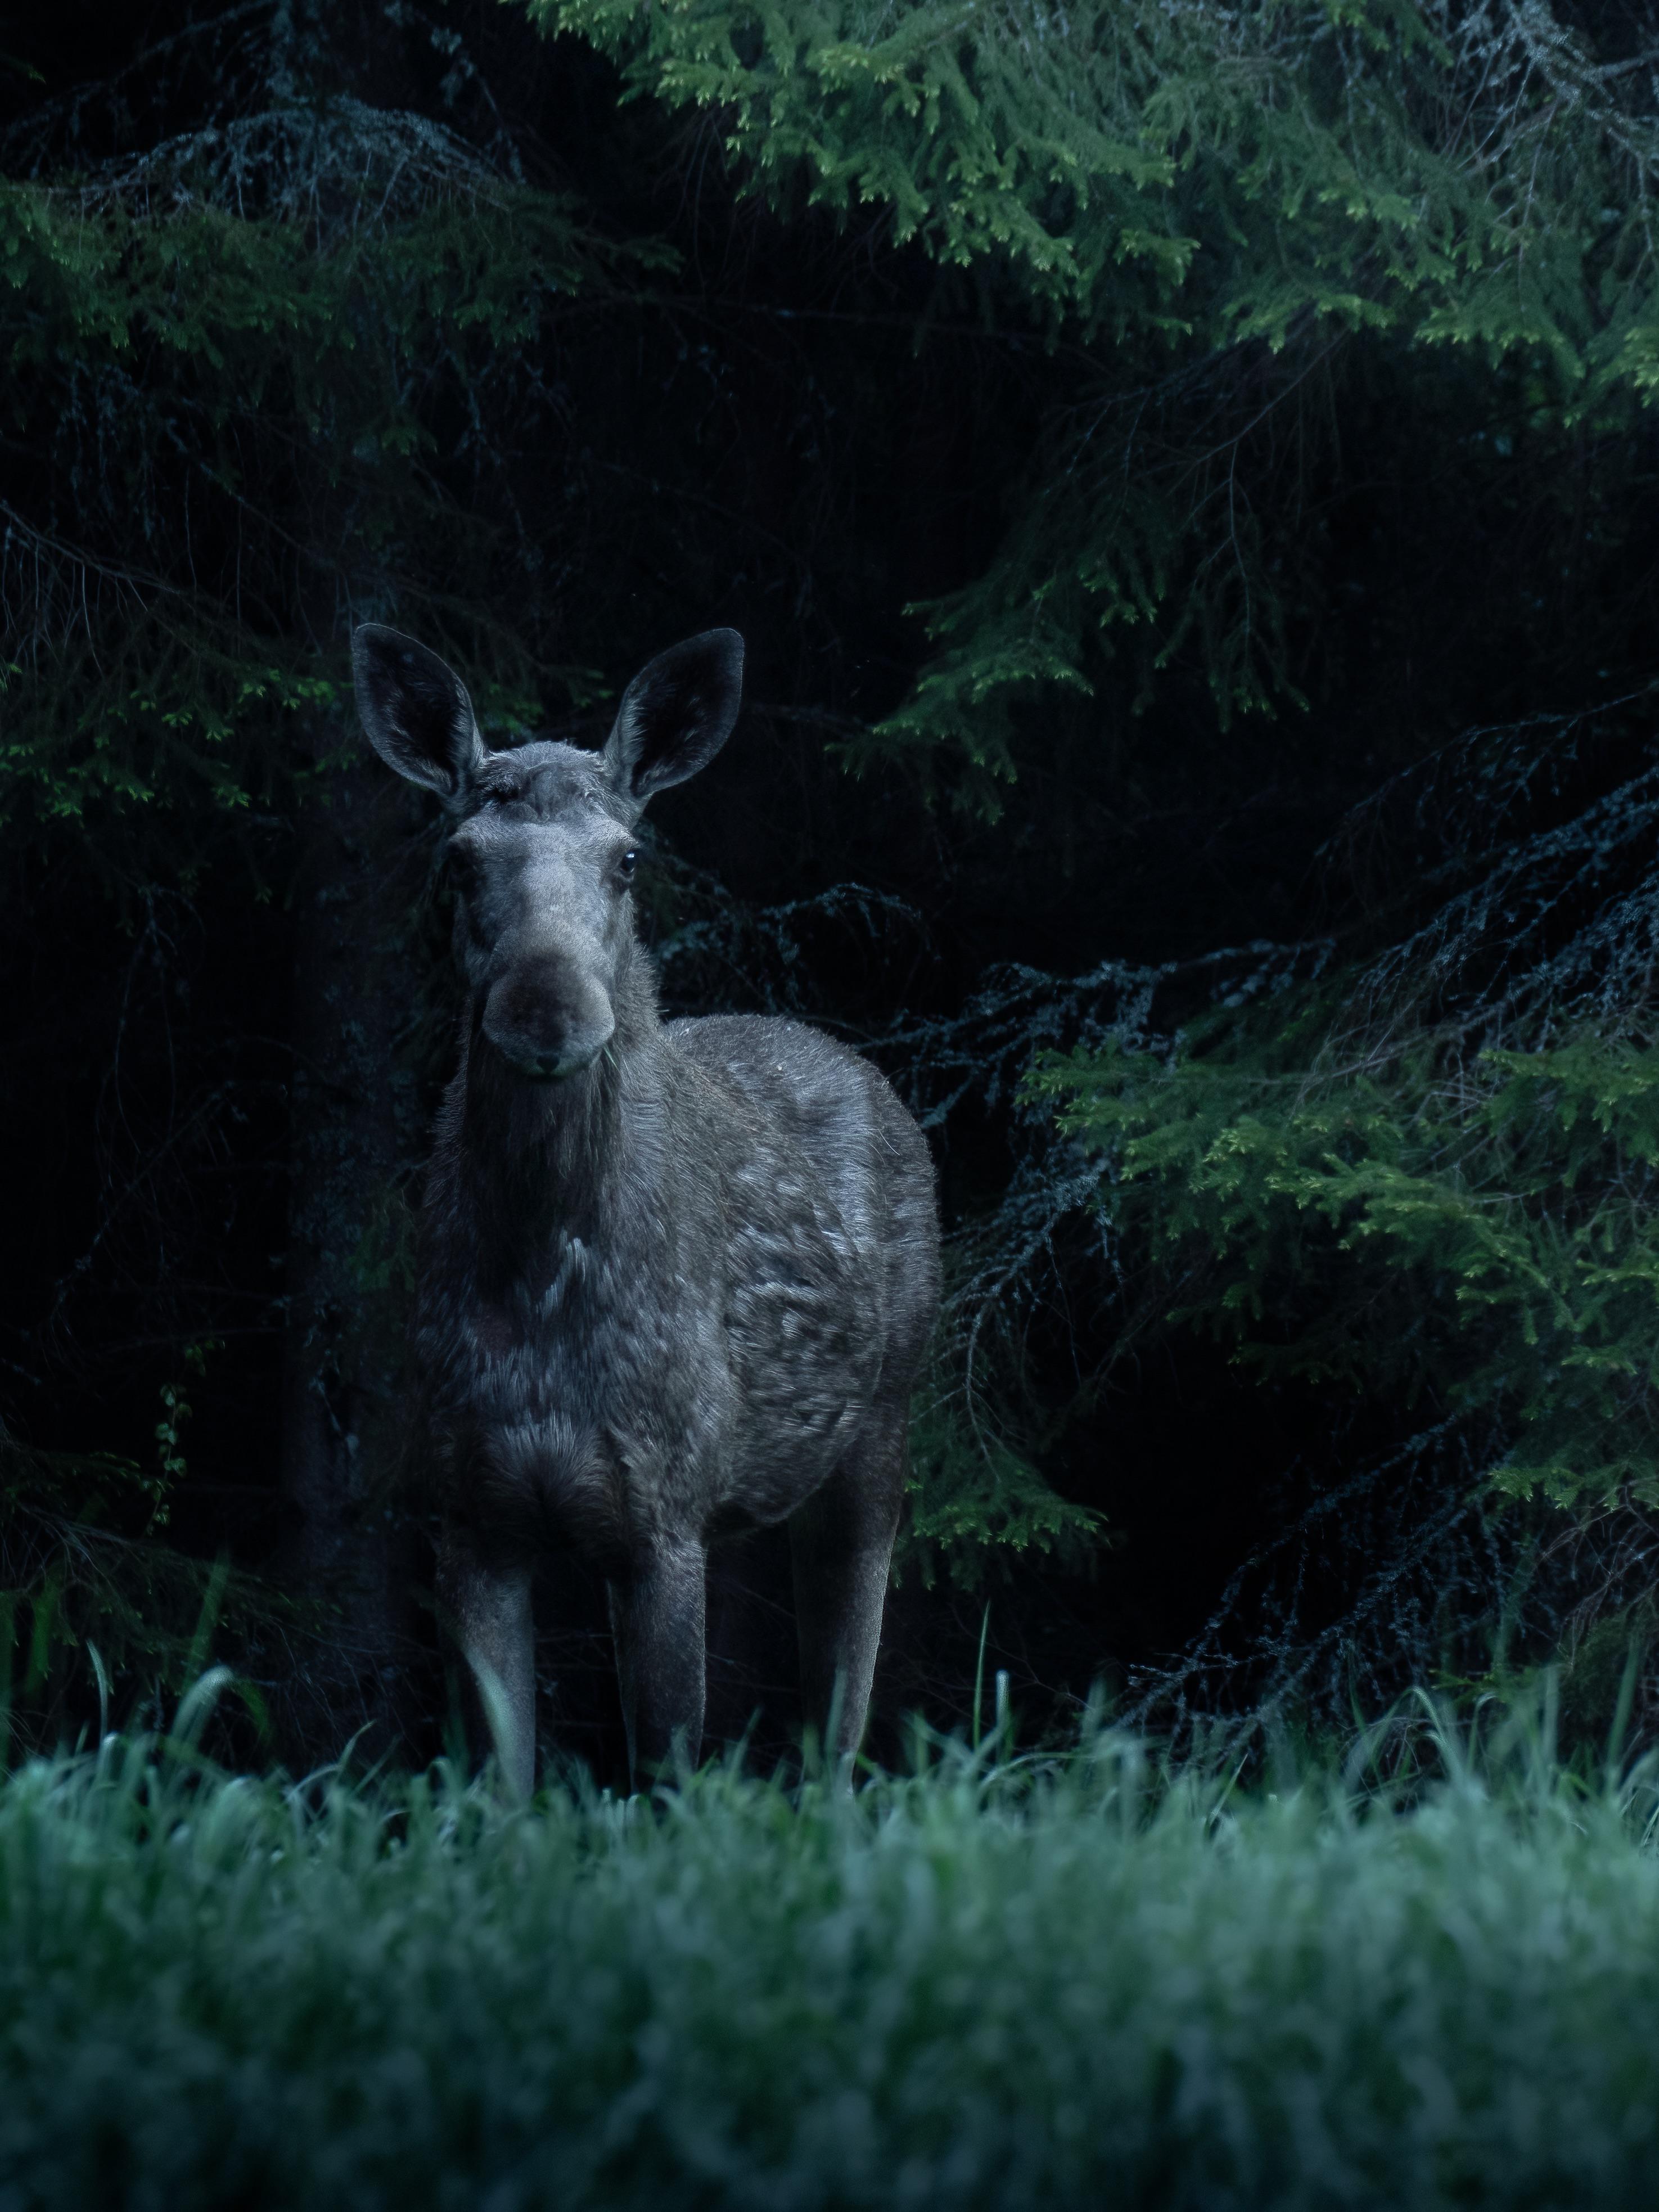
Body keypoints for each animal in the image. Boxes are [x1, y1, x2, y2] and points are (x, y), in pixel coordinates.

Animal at [352, 623, 940, 1795]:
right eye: (460, 857)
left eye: (629, 856)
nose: (547, 1006)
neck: (537, 1277)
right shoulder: (468, 1506)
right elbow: (500, 1784)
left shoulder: (663, 1507)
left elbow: (668, 1769)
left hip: (885, 1423)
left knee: (843, 1707)